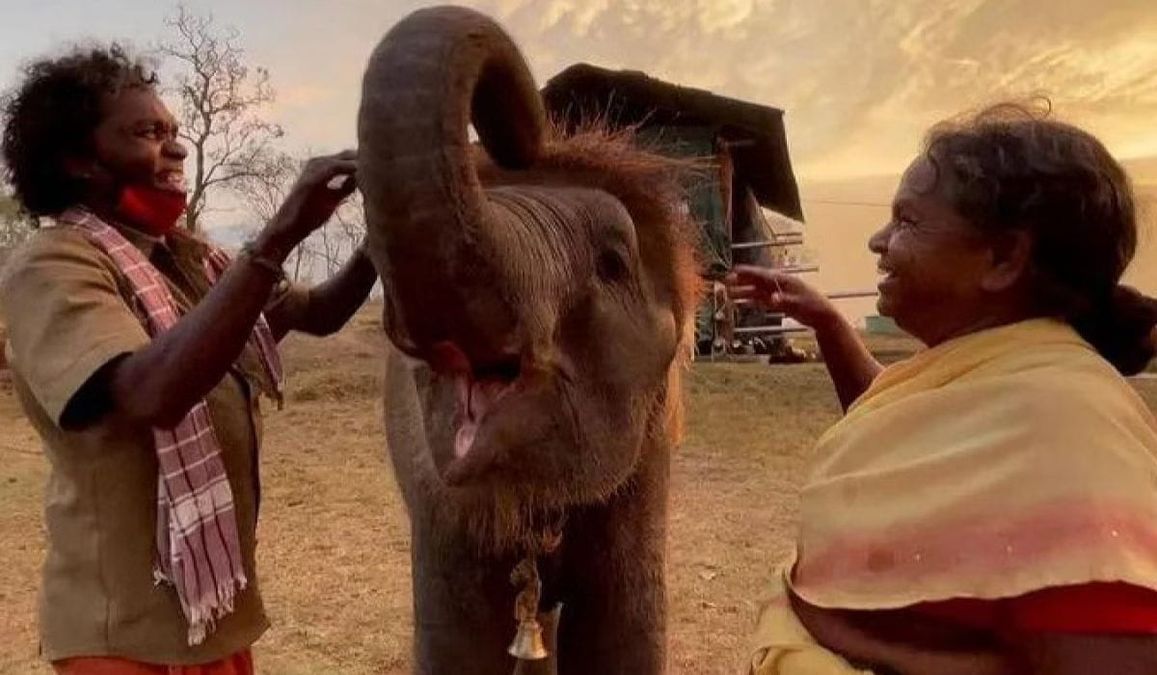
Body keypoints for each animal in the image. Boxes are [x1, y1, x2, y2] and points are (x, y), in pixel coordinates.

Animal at [356, 6, 701, 674]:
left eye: (613, 262)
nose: (519, 131)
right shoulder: (439, 511)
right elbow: (453, 646)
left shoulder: (647, 469)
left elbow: (625, 637)